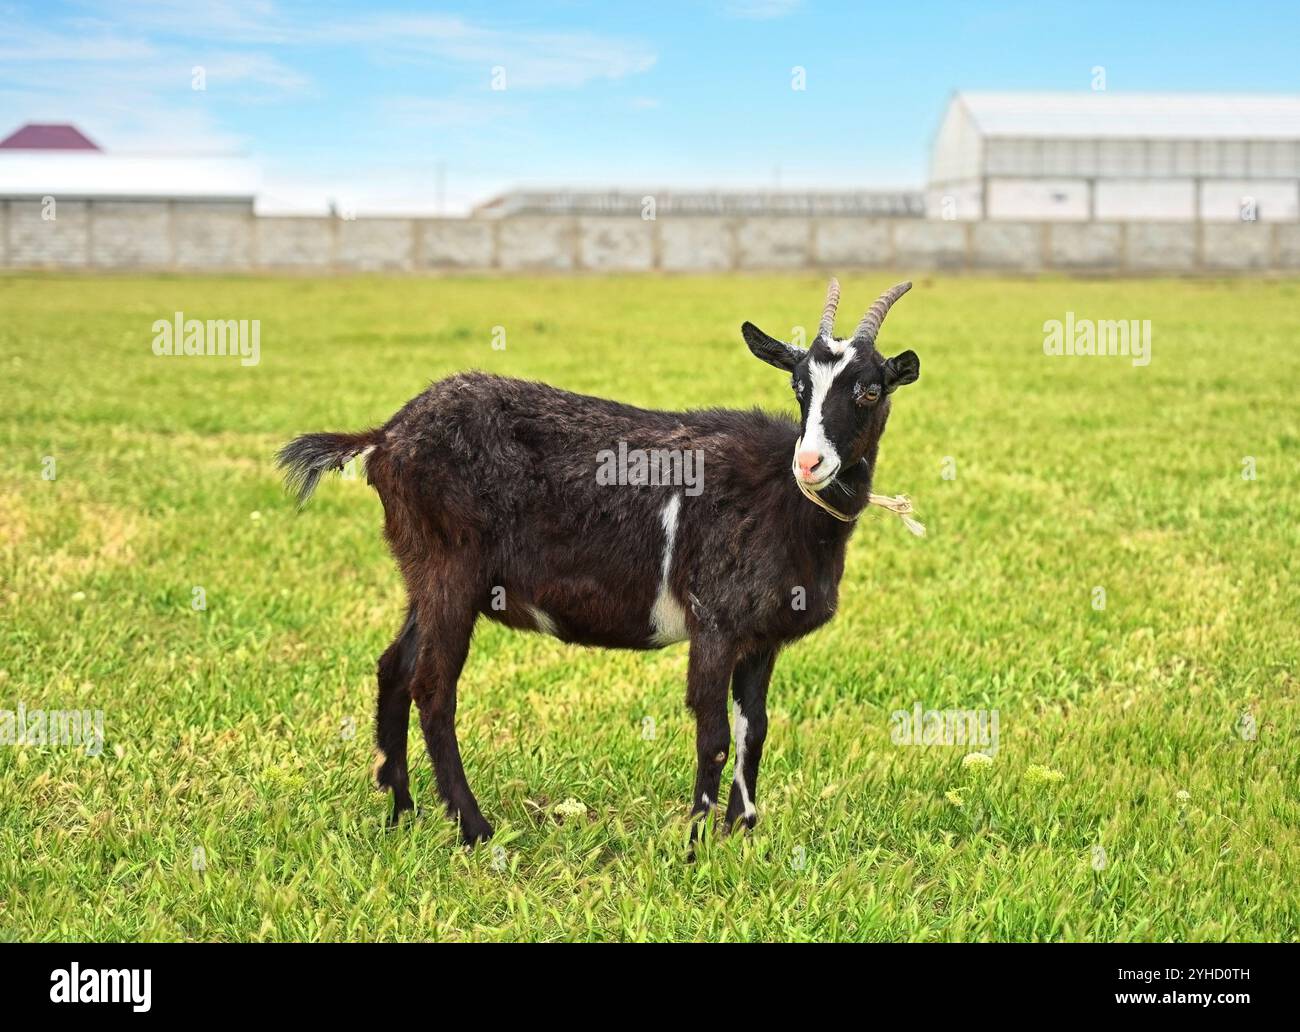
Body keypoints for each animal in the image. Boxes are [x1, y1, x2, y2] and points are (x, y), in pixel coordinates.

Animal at [277, 279, 920, 845]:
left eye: (869, 390)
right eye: (798, 387)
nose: (809, 463)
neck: (780, 499)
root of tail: (385, 437)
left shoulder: (761, 637)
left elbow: (753, 731)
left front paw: (743, 831)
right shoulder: (715, 623)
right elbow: (713, 734)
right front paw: (697, 842)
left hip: (422, 574)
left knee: (394, 666)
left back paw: (401, 811)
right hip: (449, 571)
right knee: (432, 685)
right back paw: (474, 828)